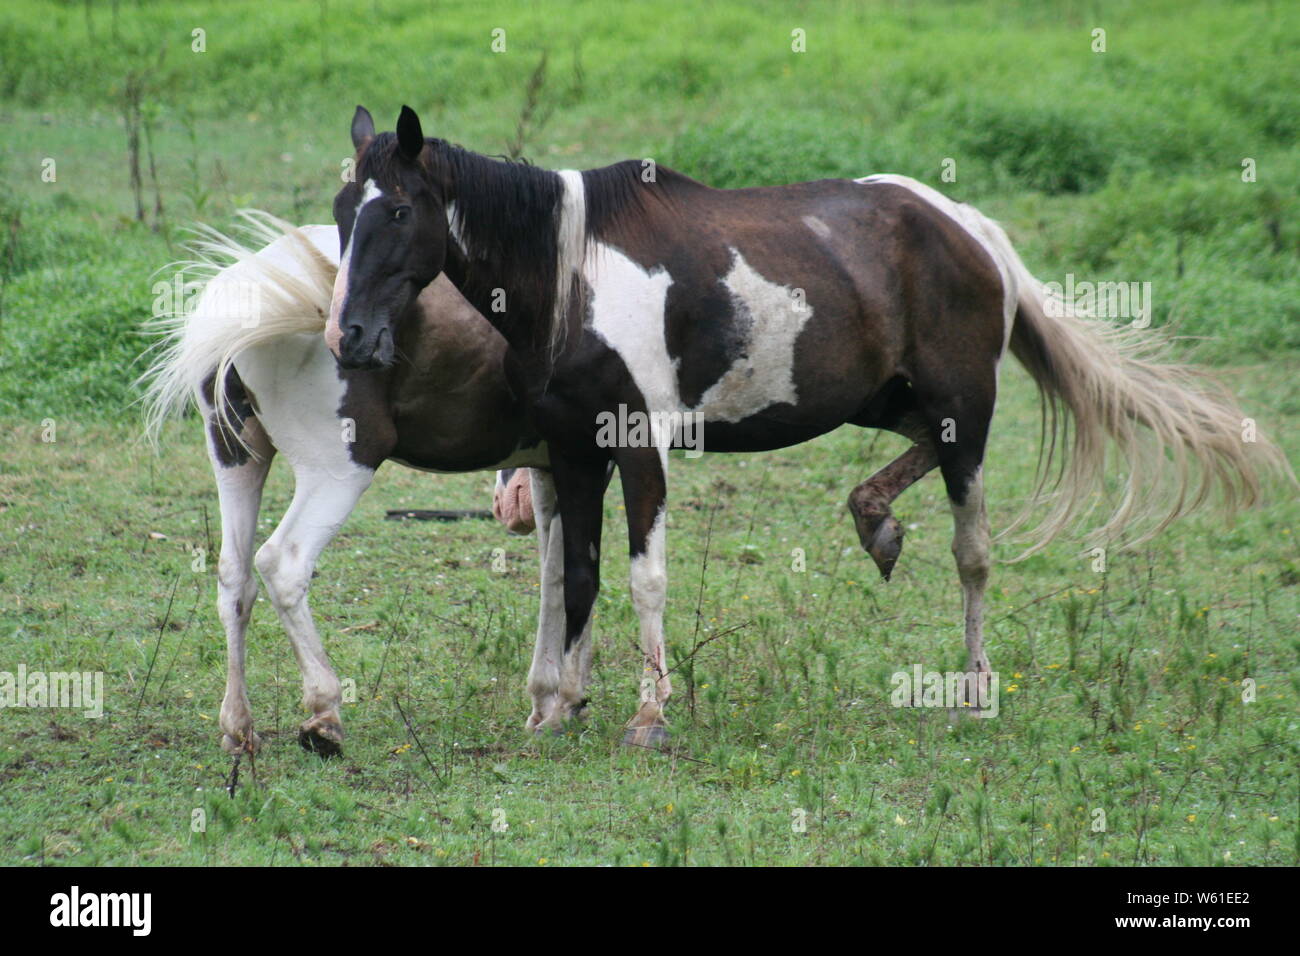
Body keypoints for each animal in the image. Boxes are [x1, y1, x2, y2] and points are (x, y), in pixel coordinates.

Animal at [141, 213, 557, 756]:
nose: (510, 505)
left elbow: (557, 573)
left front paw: (554, 700)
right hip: (338, 472)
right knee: (283, 564)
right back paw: (323, 712)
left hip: (237, 462)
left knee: (234, 577)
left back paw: (238, 726)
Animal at [327, 106, 1290, 746]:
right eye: (342, 216)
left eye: (400, 211)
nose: (351, 337)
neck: (575, 276)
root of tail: (969, 228)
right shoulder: (571, 451)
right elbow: (574, 579)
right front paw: (560, 707)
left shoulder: (637, 444)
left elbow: (642, 580)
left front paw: (649, 714)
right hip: (889, 400)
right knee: (907, 474)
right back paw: (876, 521)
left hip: (965, 415)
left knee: (973, 555)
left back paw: (975, 690)